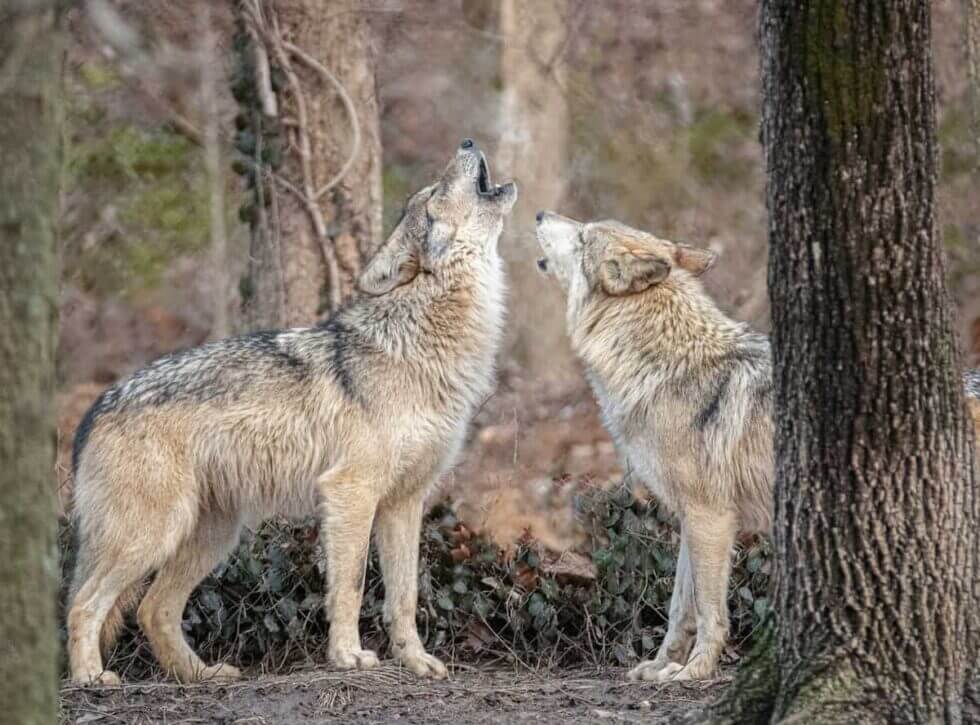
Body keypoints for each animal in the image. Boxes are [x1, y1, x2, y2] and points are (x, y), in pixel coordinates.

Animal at [67, 139, 517, 685]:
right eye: (432, 196)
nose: (467, 143)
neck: (424, 343)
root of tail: (95, 407)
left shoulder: (405, 503)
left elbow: (404, 596)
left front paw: (415, 660)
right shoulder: (351, 492)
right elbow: (351, 585)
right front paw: (348, 656)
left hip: (213, 536)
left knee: (153, 609)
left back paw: (201, 675)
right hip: (154, 534)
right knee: (84, 604)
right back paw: (91, 678)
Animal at [535, 212, 980, 683]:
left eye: (583, 235)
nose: (540, 214)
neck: (665, 364)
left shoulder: (712, 517)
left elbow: (709, 608)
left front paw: (695, 671)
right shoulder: (690, 517)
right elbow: (678, 606)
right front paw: (661, 665)